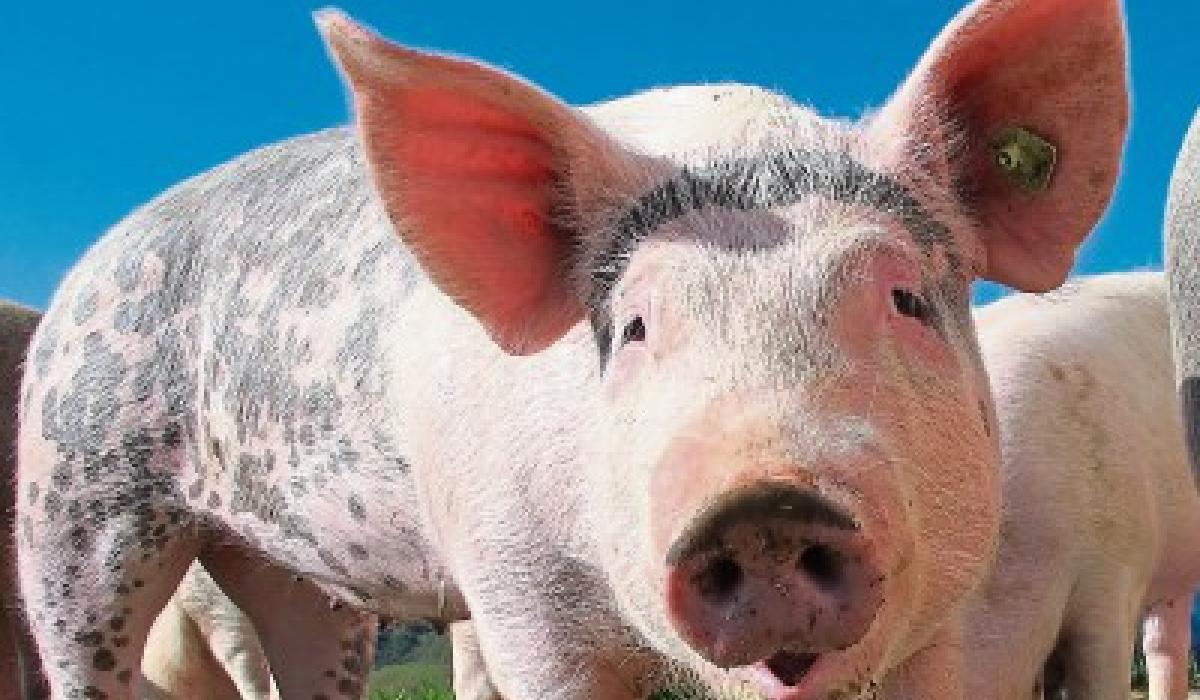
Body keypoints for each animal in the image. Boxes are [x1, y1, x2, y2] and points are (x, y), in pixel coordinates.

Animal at [14, 0, 1129, 698]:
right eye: (633, 327)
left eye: (904, 298)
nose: (765, 504)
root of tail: (85, 272)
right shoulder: (515, 590)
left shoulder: (943, 609)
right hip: (74, 495)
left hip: (288, 569)